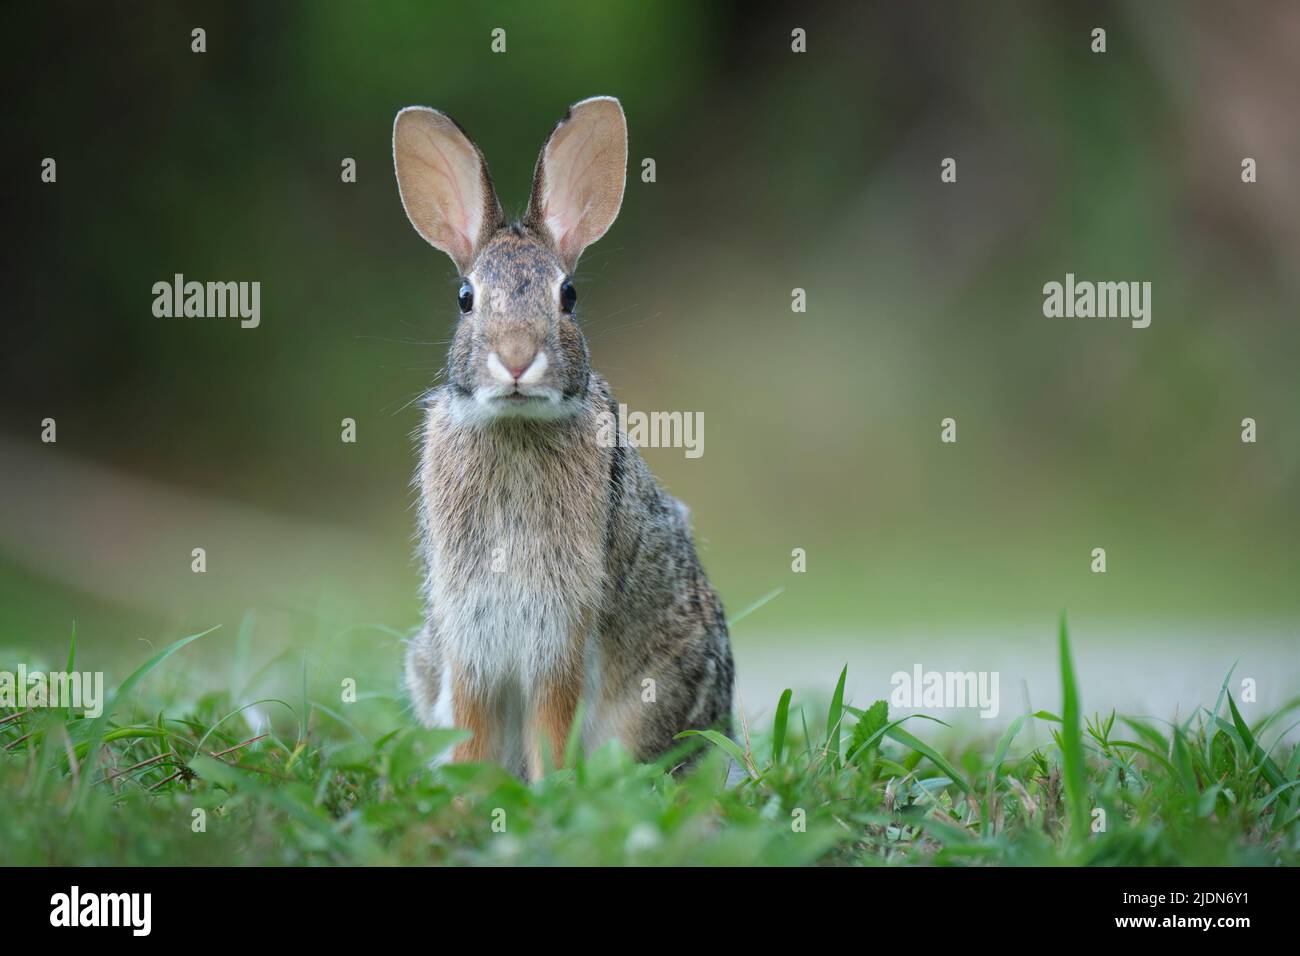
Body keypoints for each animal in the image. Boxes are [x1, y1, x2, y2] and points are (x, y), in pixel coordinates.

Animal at [393, 96, 734, 781]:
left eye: (568, 296)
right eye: (465, 298)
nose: (516, 359)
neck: (515, 426)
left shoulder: (560, 635)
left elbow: (551, 721)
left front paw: (550, 790)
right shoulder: (470, 637)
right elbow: (471, 729)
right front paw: (471, 792)